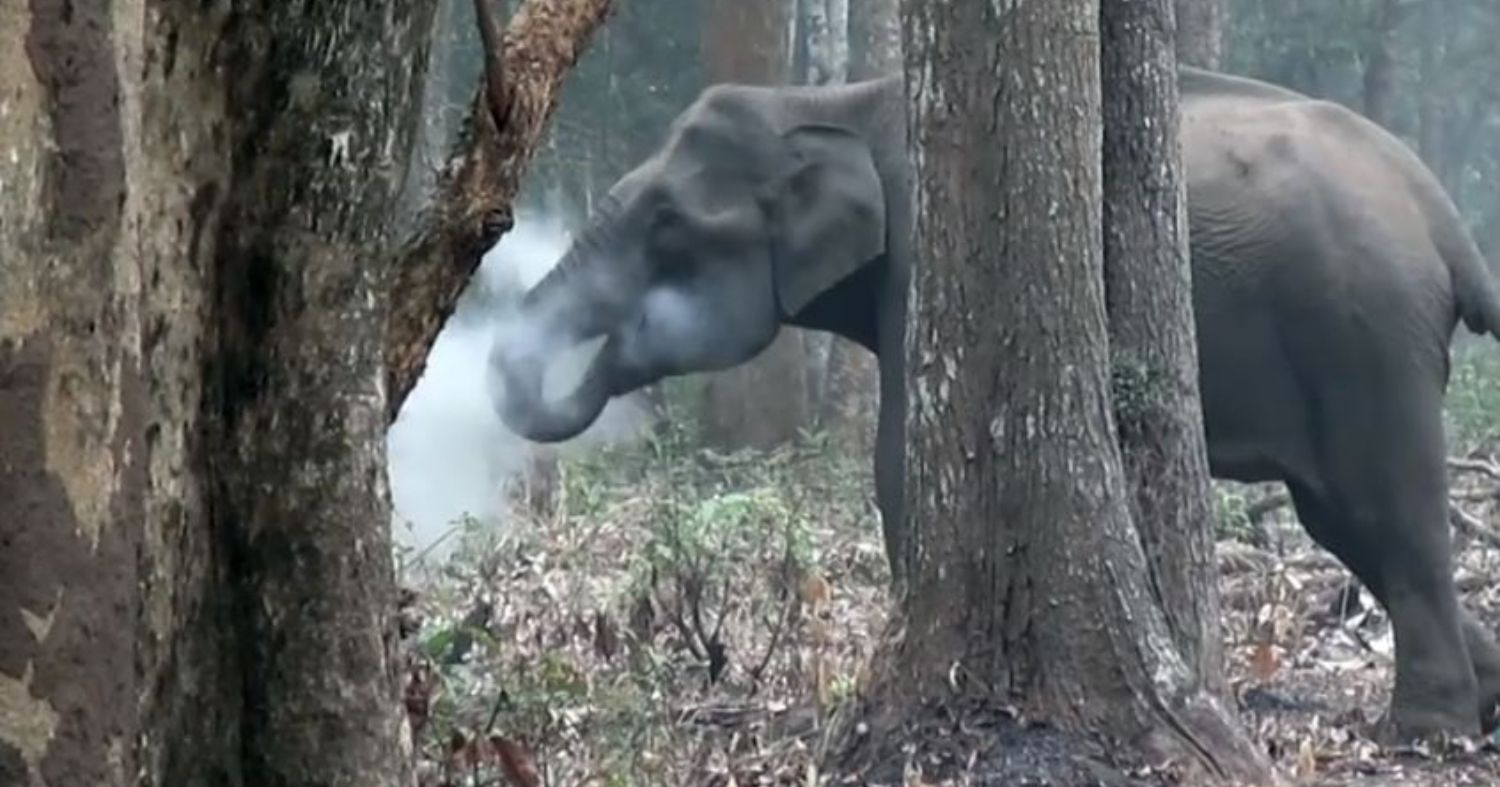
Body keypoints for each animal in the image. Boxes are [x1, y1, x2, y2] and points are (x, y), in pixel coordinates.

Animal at [487, 65, 1500, 742]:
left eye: (667, 227)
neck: (828, 102)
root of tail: (1444, 218)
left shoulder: (928, 262)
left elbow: (899, 463)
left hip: (1363, 333)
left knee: (1384, 511)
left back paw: (1425, 731)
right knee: (1345, 521)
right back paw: (1482, 700)